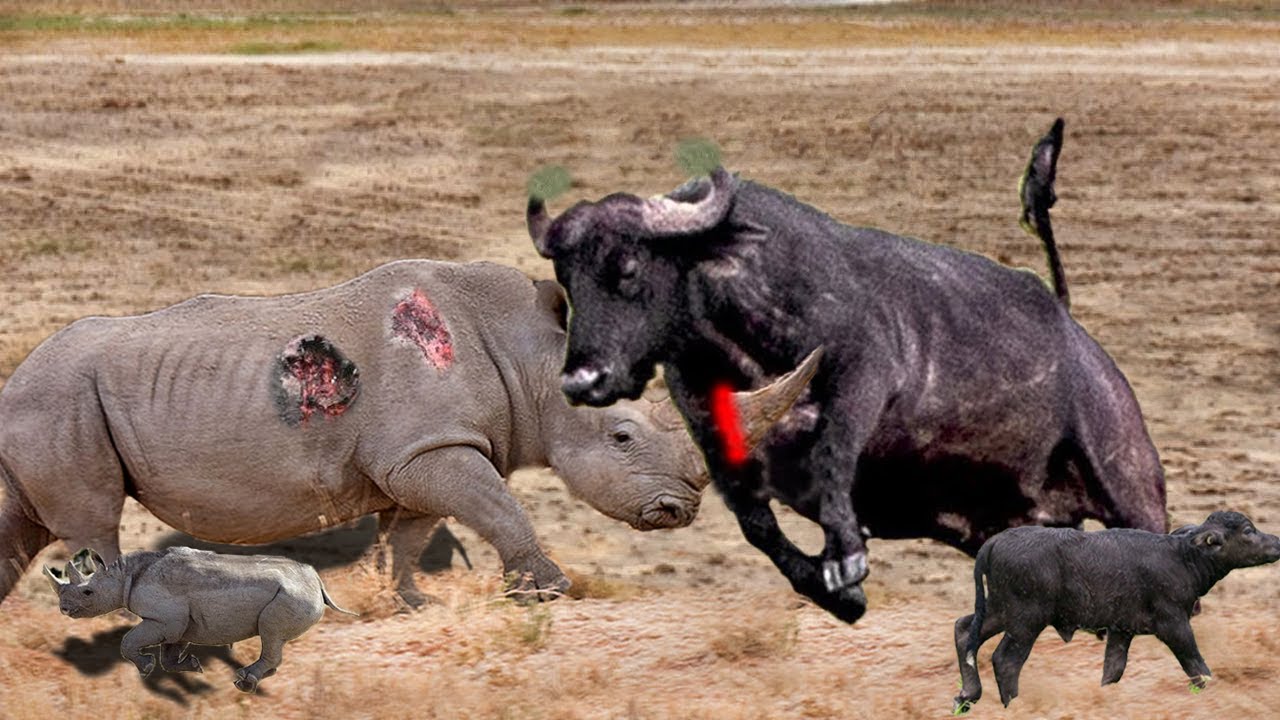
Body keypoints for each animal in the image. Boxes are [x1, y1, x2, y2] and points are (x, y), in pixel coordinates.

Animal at [0, 260, 815, 608]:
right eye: (621, 439)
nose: (679, 510)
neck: (532, 355)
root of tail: (15, 376)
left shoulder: (416, 456)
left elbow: (410, 535)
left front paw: (409, 605)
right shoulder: (432, 447)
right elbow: (498, 507)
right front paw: (551, 592)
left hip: (41, 406)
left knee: (20, 522)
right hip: (60, 399)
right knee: (90, 521)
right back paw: (107, 611)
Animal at [46, 546, 355, 693]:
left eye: (88, 592)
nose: (64, 609)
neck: (124, 577)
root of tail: (317, 581)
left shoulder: (164, 618)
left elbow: (128, 642)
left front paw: (145, 668)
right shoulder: (177, 623)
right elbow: (170, 655)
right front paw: (192, 666)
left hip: (291, 594)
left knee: (270, 633)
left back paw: (244, 682)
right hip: (295, 592)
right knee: (275, 640)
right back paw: (255, 679)